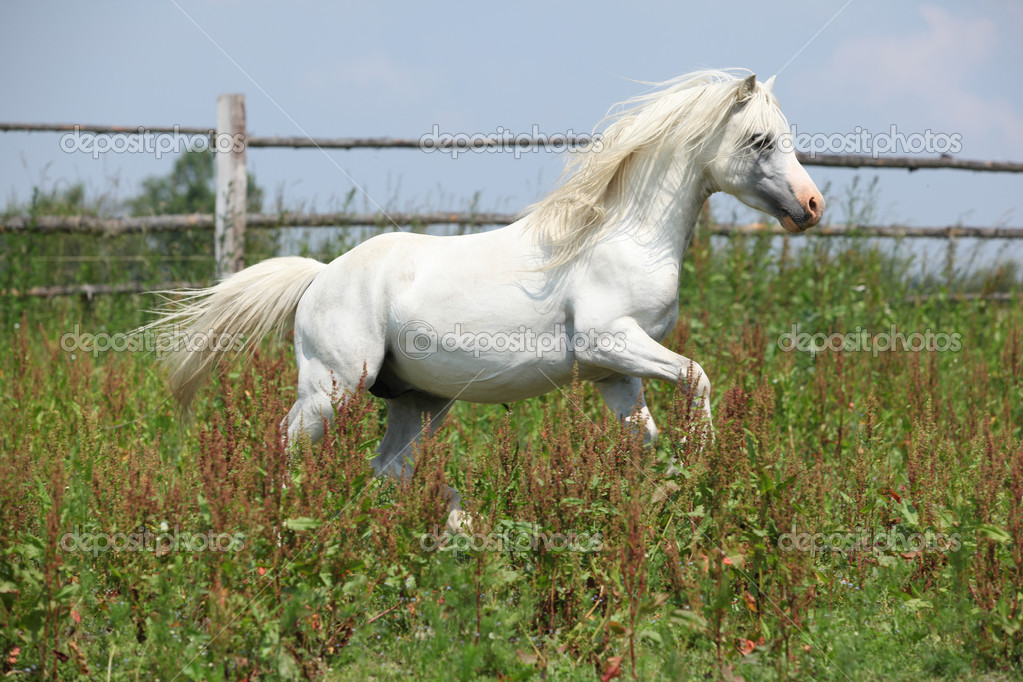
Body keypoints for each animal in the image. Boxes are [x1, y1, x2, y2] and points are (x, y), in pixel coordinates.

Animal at [149, 69, 824, 531]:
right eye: (760, 140)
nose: (812, 206)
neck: (625, 235)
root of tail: (320, 277)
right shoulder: (612, 340)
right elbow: (697, 376)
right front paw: (707, 463)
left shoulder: (614, 372)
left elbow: (647, 437)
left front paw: (672, 489)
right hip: (332, 387)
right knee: (290, 448)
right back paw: (287, 526)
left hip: (418, 402)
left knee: (388, 469)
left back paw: (442, 527)